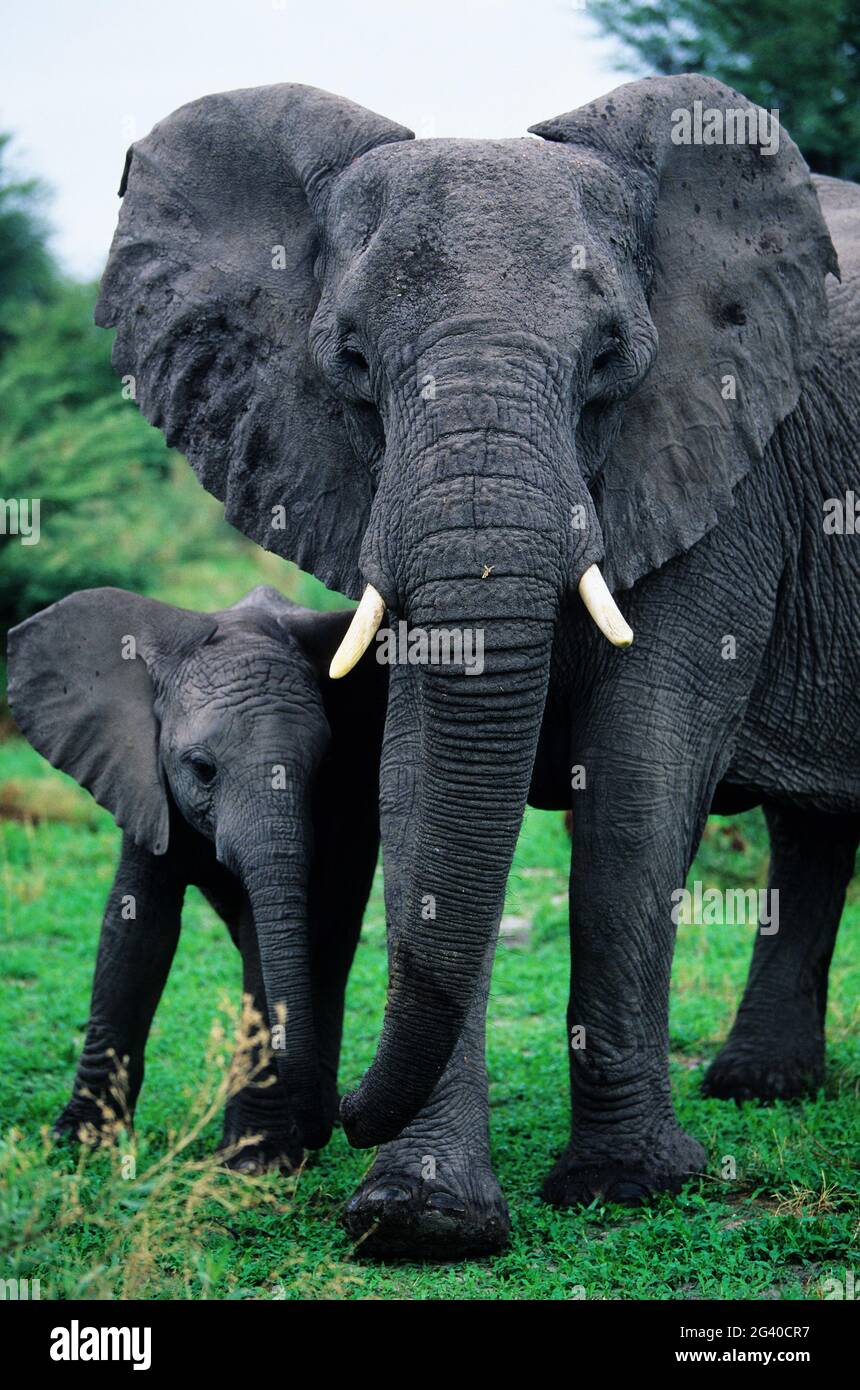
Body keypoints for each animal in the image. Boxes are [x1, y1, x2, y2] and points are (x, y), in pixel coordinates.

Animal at [7, 585, 386, 1167]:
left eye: (320, 768)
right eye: (202, 769)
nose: (326, 1128)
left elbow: (262, 940)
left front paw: (255, 1163)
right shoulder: (141, 774)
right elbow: (137, 928)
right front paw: (81, 1145)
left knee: (334, 935)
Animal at [93, 72, 860, 1256]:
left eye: (608, 361)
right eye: (352, 363)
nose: (339, 1110)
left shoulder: (725, 456)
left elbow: (639, 777)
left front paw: (626, 1185)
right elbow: (417, 778)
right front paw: (417, 1219)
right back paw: (759, 1087)